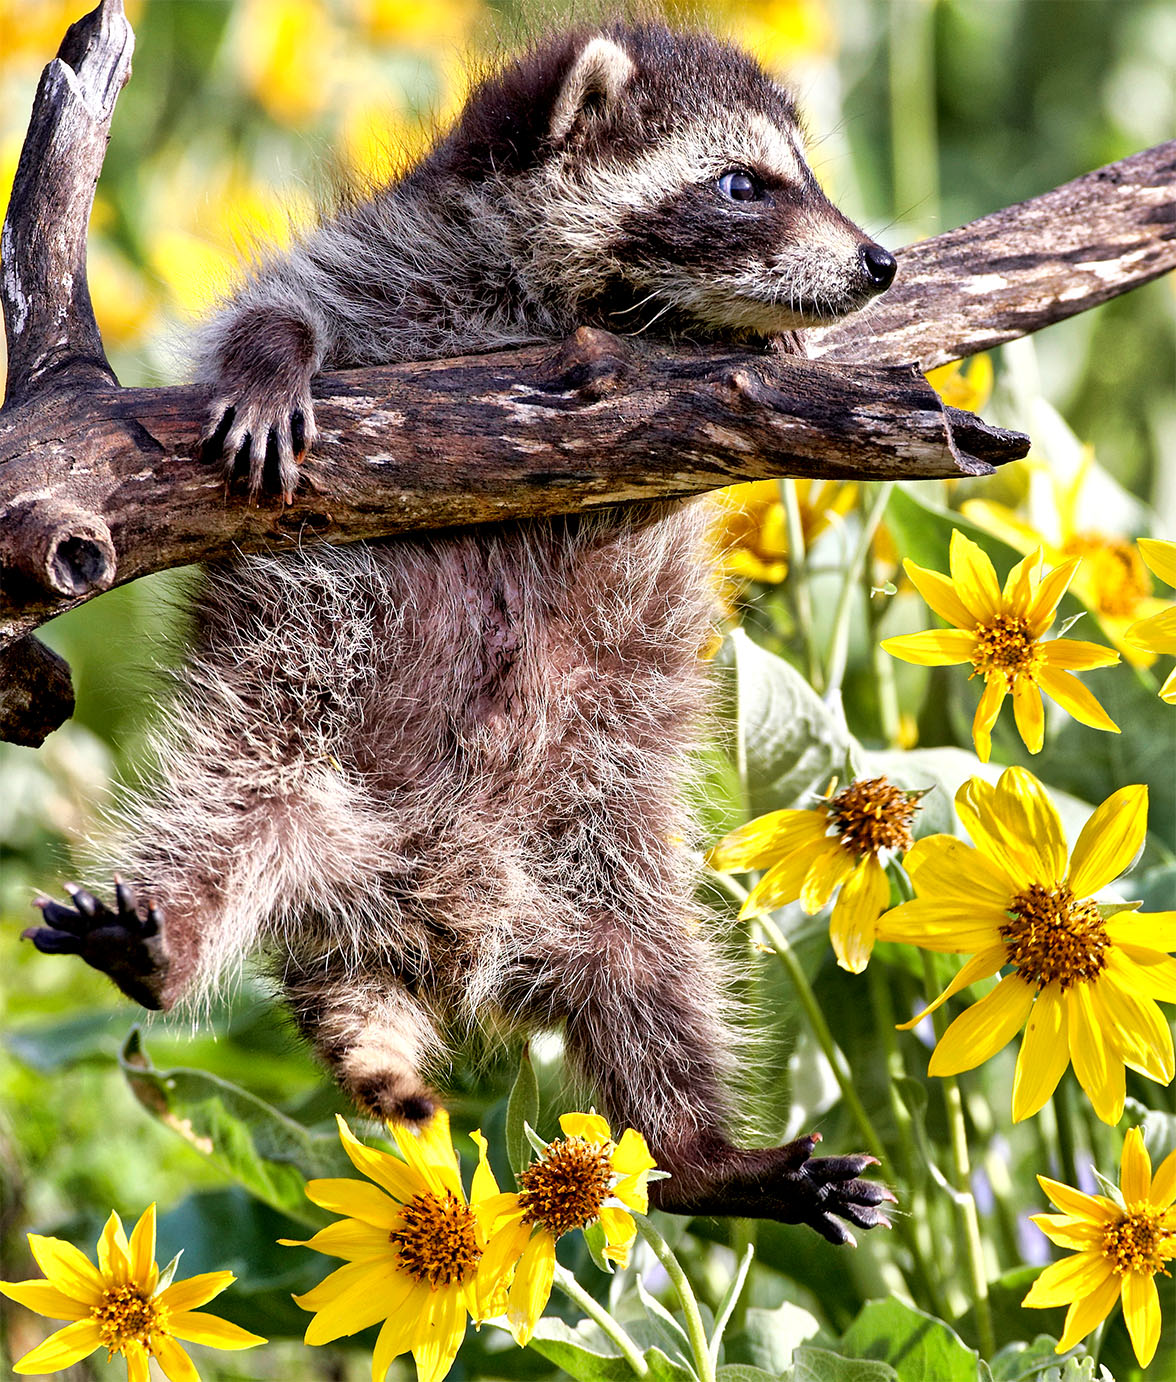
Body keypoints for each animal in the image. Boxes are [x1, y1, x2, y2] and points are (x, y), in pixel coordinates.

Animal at [30, 22, 897, 1241]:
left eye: (803, 175)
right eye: (744, 184)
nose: (880, 264)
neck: (575, 297)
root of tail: (430, 932)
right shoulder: (392, 258)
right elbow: (280, 300)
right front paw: (271, 354)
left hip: (603, 866)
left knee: (660, 988)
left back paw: (704, 1152)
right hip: (293, 767)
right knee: (220, 828)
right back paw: (169, 936)